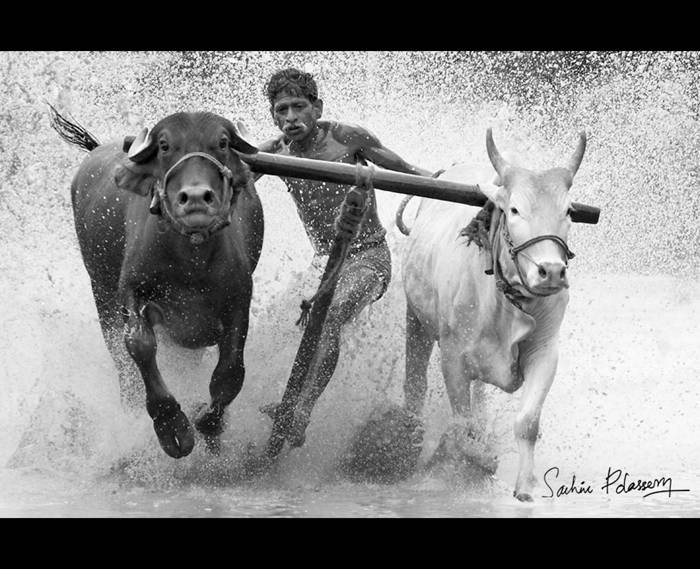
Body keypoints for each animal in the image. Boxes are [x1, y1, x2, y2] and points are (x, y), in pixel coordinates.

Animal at [50, 109, 264, 459]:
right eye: (164, 145)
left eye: (222, 142)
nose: (195, 198)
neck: (190, 262)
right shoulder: (131, 290)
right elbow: (138, 345)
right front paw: (171, 425)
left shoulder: (238, 300)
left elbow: (232, 372)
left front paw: (208, 424)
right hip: (101, 290)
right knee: (119, 359)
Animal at [395, 128, 586, 501]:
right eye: (514, 209)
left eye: (569, 211)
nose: (551, 272)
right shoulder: (453, 358)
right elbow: (463, 429)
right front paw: (482, 459)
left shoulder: (545, 353)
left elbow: (527, 423)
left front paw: (525, 486)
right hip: (416, 319)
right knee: (415, 383)